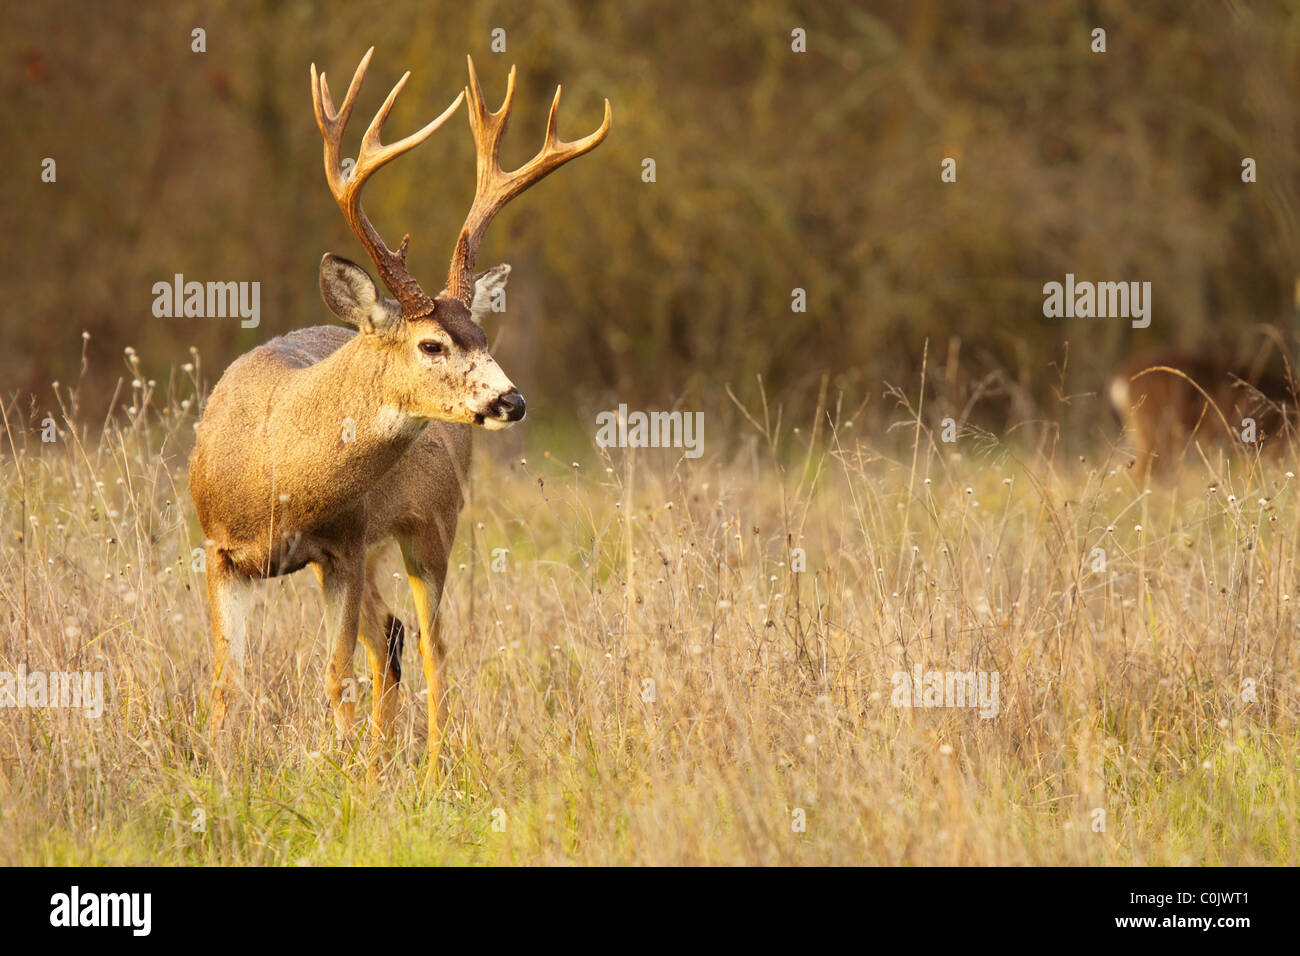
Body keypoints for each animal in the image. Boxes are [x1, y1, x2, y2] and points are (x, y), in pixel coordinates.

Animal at [188, 48, 610, 773]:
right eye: (433, 343)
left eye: (484, 335)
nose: (512, 399)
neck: (276, 476)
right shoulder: (220, 550)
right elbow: (228, 680)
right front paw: (220, 774)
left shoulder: (345, 545)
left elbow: (336, 676)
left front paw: (339, 773)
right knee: (388, 638)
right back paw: (385, 760)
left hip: (431, 525)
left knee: (429, 647)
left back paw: (432, 769)